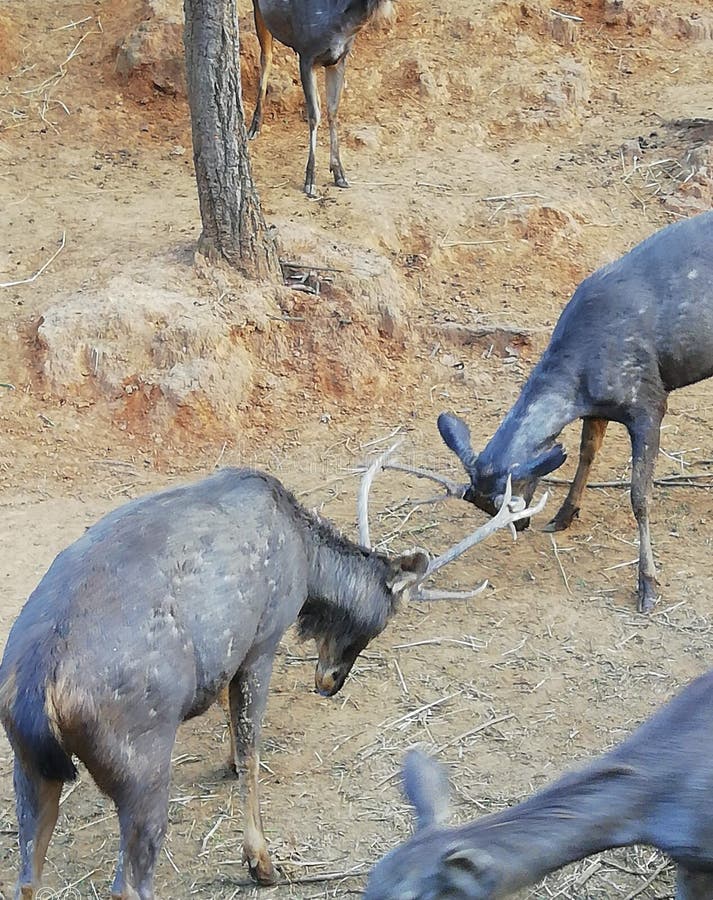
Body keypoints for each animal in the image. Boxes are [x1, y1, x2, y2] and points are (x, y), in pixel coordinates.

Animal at [0, 454, 546, 899]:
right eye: (378, 622)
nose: (330, 682)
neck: (306, 560)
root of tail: (40, 690)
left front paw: (226, 765)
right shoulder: (263, 641)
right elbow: (251, 745)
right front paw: (261, 862)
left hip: (29, 764)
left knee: (27, 876)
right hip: (142, 761)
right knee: (129, 885)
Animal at [247, 0, 393, 197]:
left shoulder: (339, 59)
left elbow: (332, 110)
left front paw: (339, 174)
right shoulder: (306, 56)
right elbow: (314, 115)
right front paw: (310, 181)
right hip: (258, 12)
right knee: (266, 57)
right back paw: (254, 128)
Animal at [438, 210, 713, 613]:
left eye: (510, 504)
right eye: (480, 503)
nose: (521, 526)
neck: (580, 381)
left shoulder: (649, 401)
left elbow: (640, 496)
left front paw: (647, 585)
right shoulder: (597, 409)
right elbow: (586, 454)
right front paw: (564, 515)